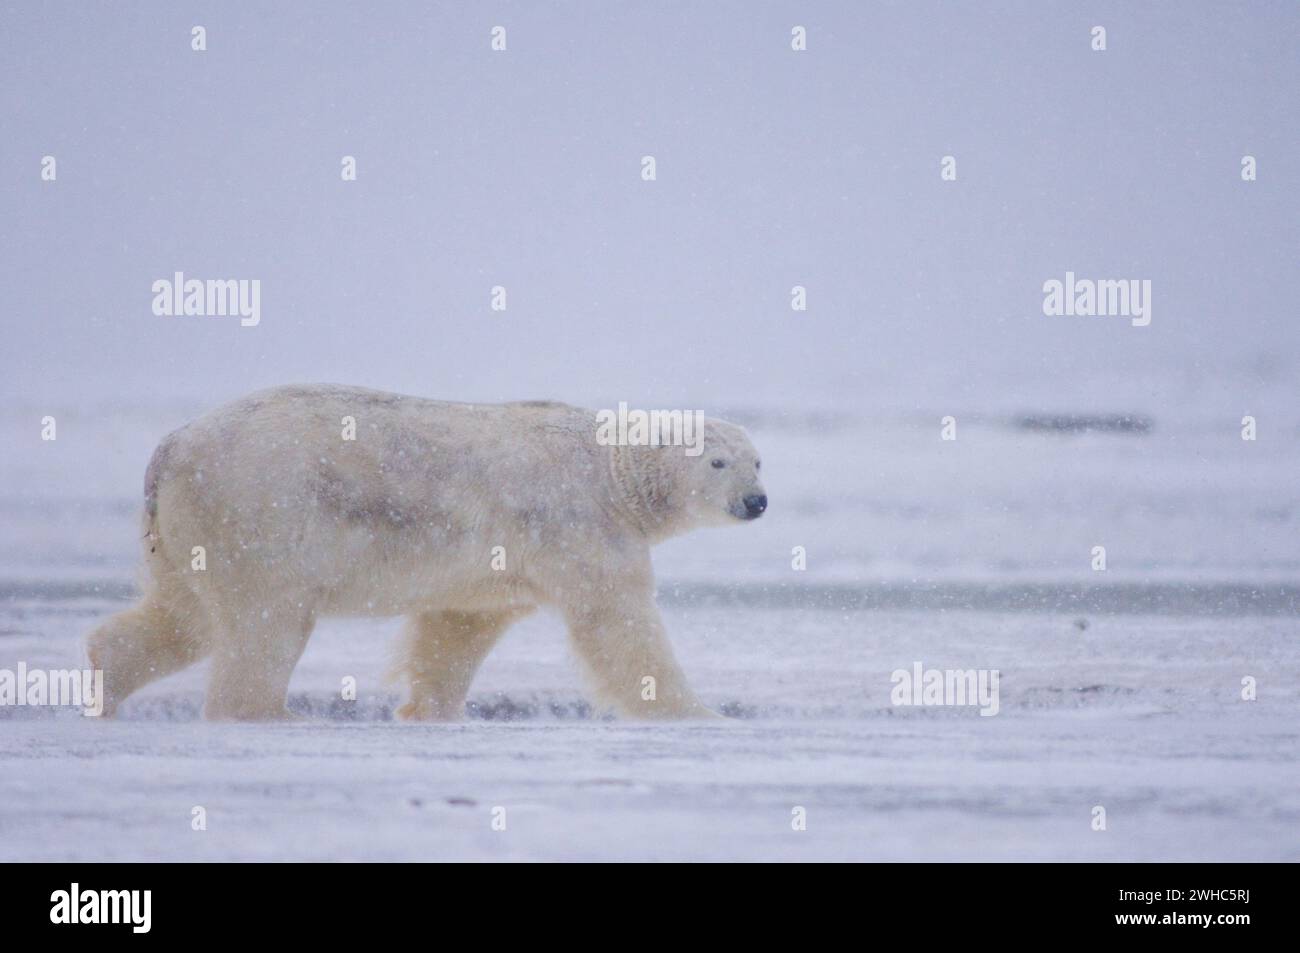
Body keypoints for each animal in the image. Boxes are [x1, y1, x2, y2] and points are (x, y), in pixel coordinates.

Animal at [85, 384, 767, 721]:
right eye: (717, 461)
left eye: (759, 460)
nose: (756, 502)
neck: (609, 467)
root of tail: (170, 448)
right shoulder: (577, 523)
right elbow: (618, 622)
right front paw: (698, 714)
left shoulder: (499, 561)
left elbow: (459, 628)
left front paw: (429, 711)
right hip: (260, 507)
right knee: (266, 620)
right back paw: (267, 713)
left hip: (189, 529)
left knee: (187, 615)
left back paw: (104, 681)